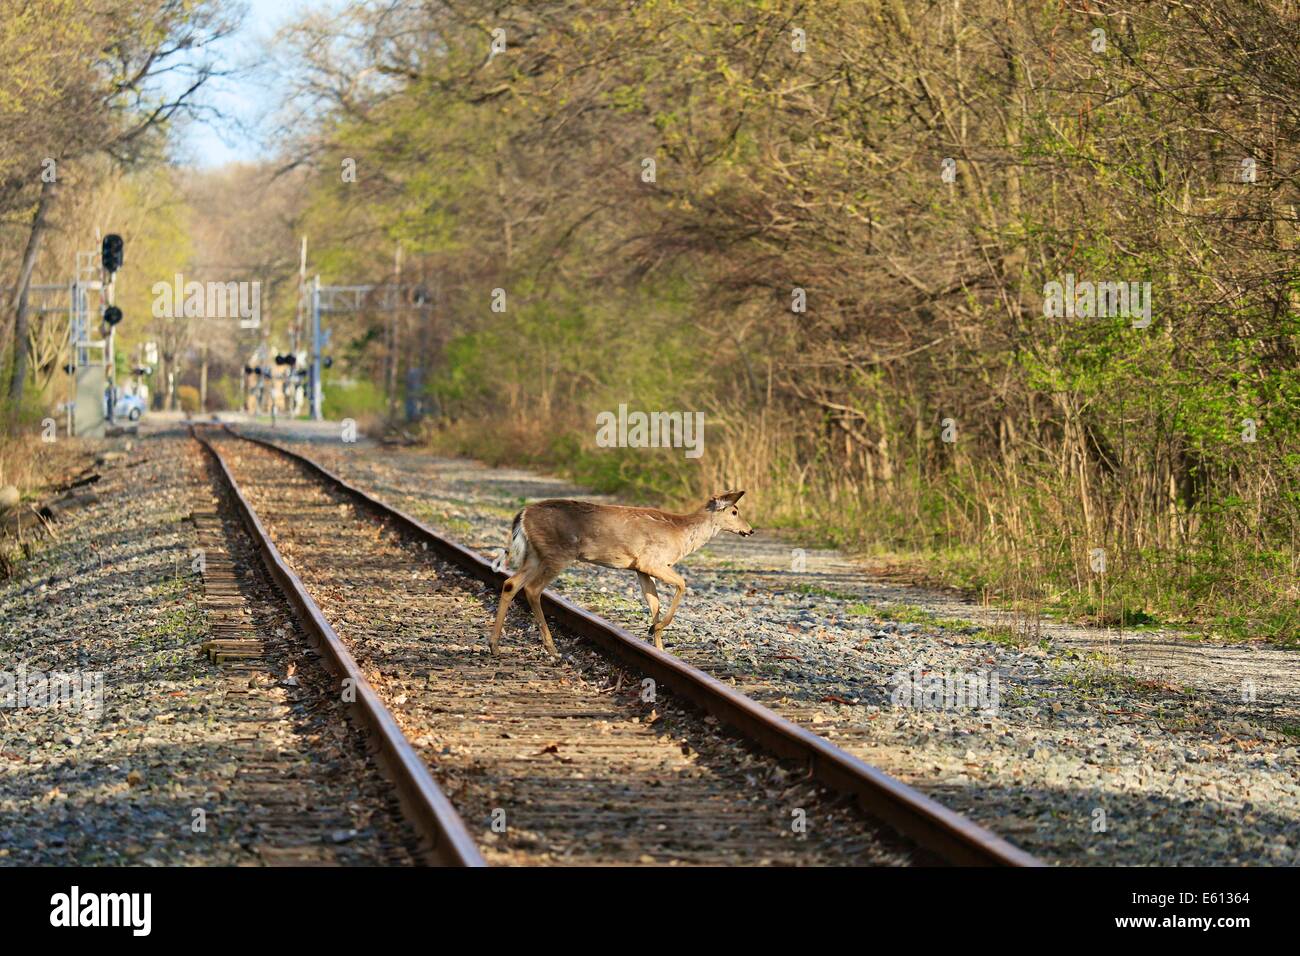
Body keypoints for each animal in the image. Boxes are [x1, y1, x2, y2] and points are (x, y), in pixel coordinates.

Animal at [488, 490, 753, 655]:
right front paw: (656, 631)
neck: (682, 535)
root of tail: (523, 515)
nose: (750, 530)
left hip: (535, 554)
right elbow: (682, 584)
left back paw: (495, 645)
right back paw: (551, 649)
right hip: (557, 552)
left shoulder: (640, 568)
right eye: (734, 511)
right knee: (532, 589)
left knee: (511, 583)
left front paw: (658, 646)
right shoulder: (652, 561)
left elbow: (654, 603)